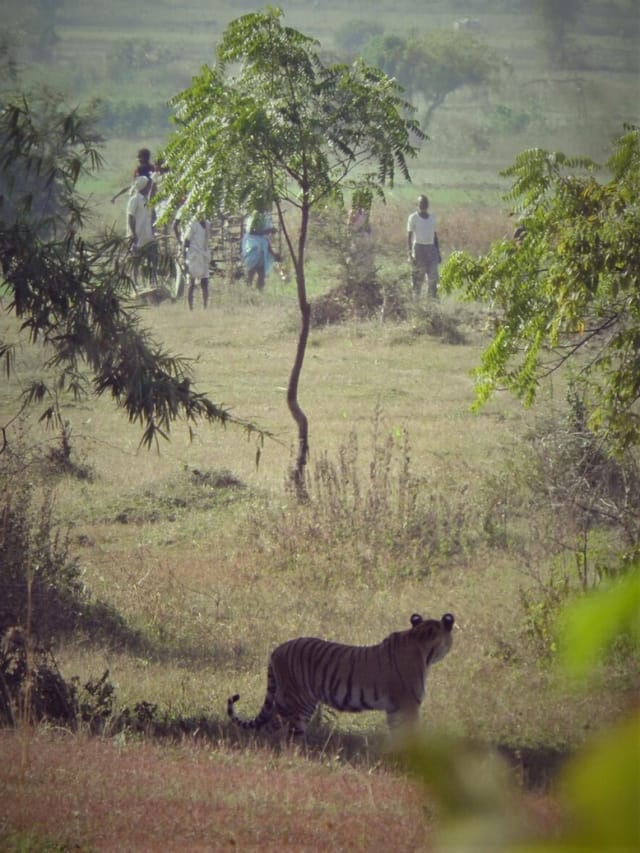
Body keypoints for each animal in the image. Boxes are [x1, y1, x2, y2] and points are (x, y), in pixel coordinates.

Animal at [227, 611, 454, 735]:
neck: (420, 640)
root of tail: (277, 649)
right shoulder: (408, 706)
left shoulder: (395, 710)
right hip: (299, 701)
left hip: (289, 699)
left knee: (270, 722)